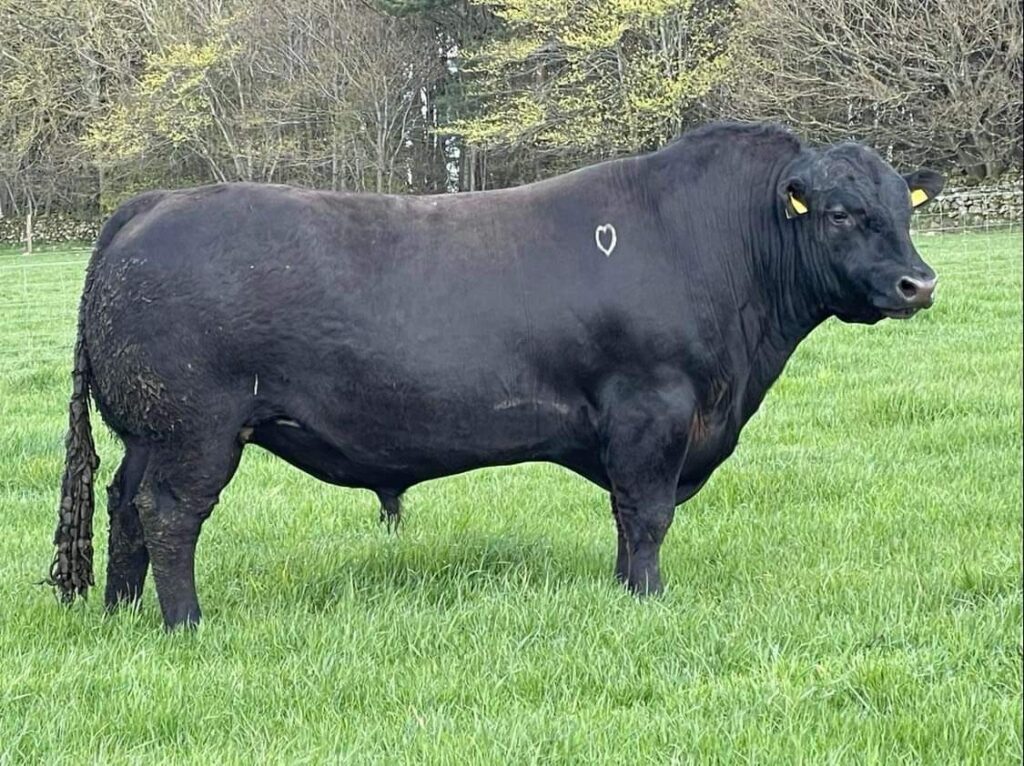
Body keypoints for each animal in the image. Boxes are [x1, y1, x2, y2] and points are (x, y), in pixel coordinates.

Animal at [50, 122, 944, 629]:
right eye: (841, 213)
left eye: (905, 208)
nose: (919, 283)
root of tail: (155, 203)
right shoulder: (652, 411)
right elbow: (647, 515)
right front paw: (648, 601)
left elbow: (626, 519)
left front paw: (623, 589)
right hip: (194, 430)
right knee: (168, 516)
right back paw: (184, 622)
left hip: (148, 432)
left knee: (124, 506)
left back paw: (121, 612)